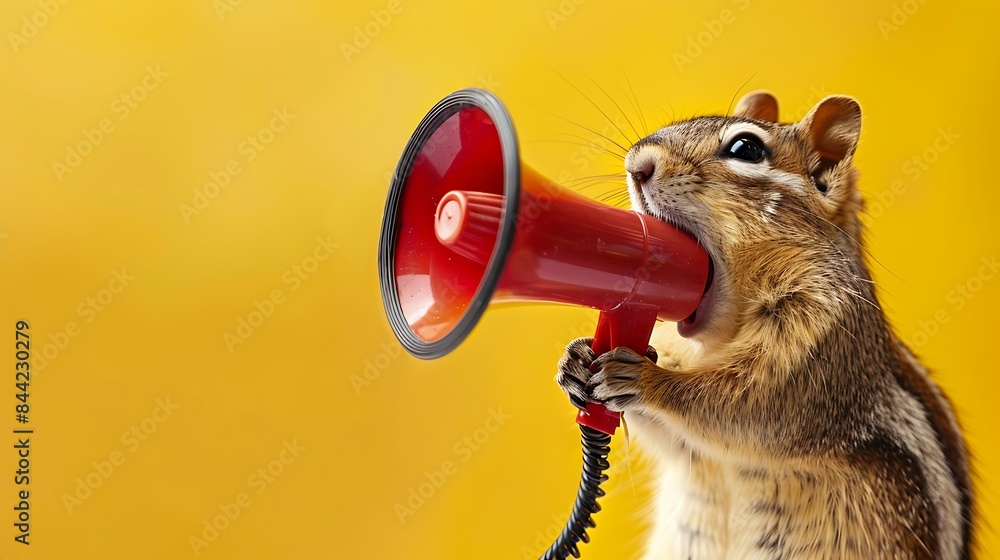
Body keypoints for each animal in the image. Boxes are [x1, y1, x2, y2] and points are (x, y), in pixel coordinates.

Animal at [556, 91, 975, 559]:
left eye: (746, 149)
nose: (637, 164)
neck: (715, 340)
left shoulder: (817, 348)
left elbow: (742, 407)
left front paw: (645, 378)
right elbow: (677, 436)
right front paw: (576, 361)